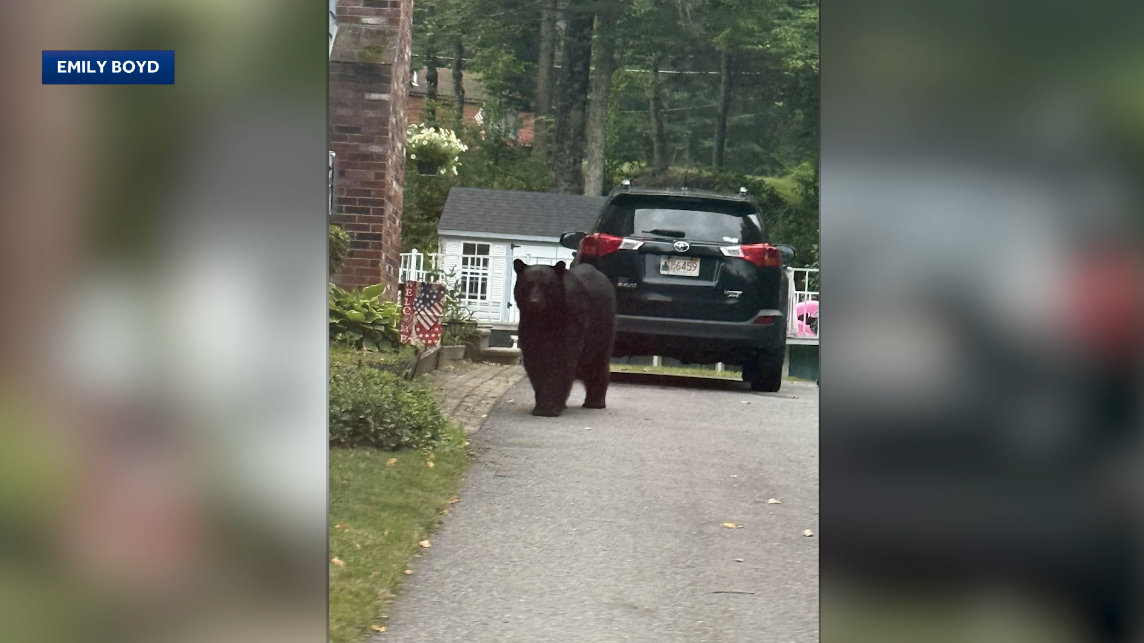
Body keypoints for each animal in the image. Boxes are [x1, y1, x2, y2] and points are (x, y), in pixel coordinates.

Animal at [513, 260, 616, 417]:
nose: (534, 302)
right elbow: (535, 359)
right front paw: (541, 405)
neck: (546, 318)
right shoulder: (528, 324)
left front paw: (548, 408)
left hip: (601, 328)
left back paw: (595, 402)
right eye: (528, 284)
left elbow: (562, 359)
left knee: (596, 363)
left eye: (545, 285)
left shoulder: (572, 319)